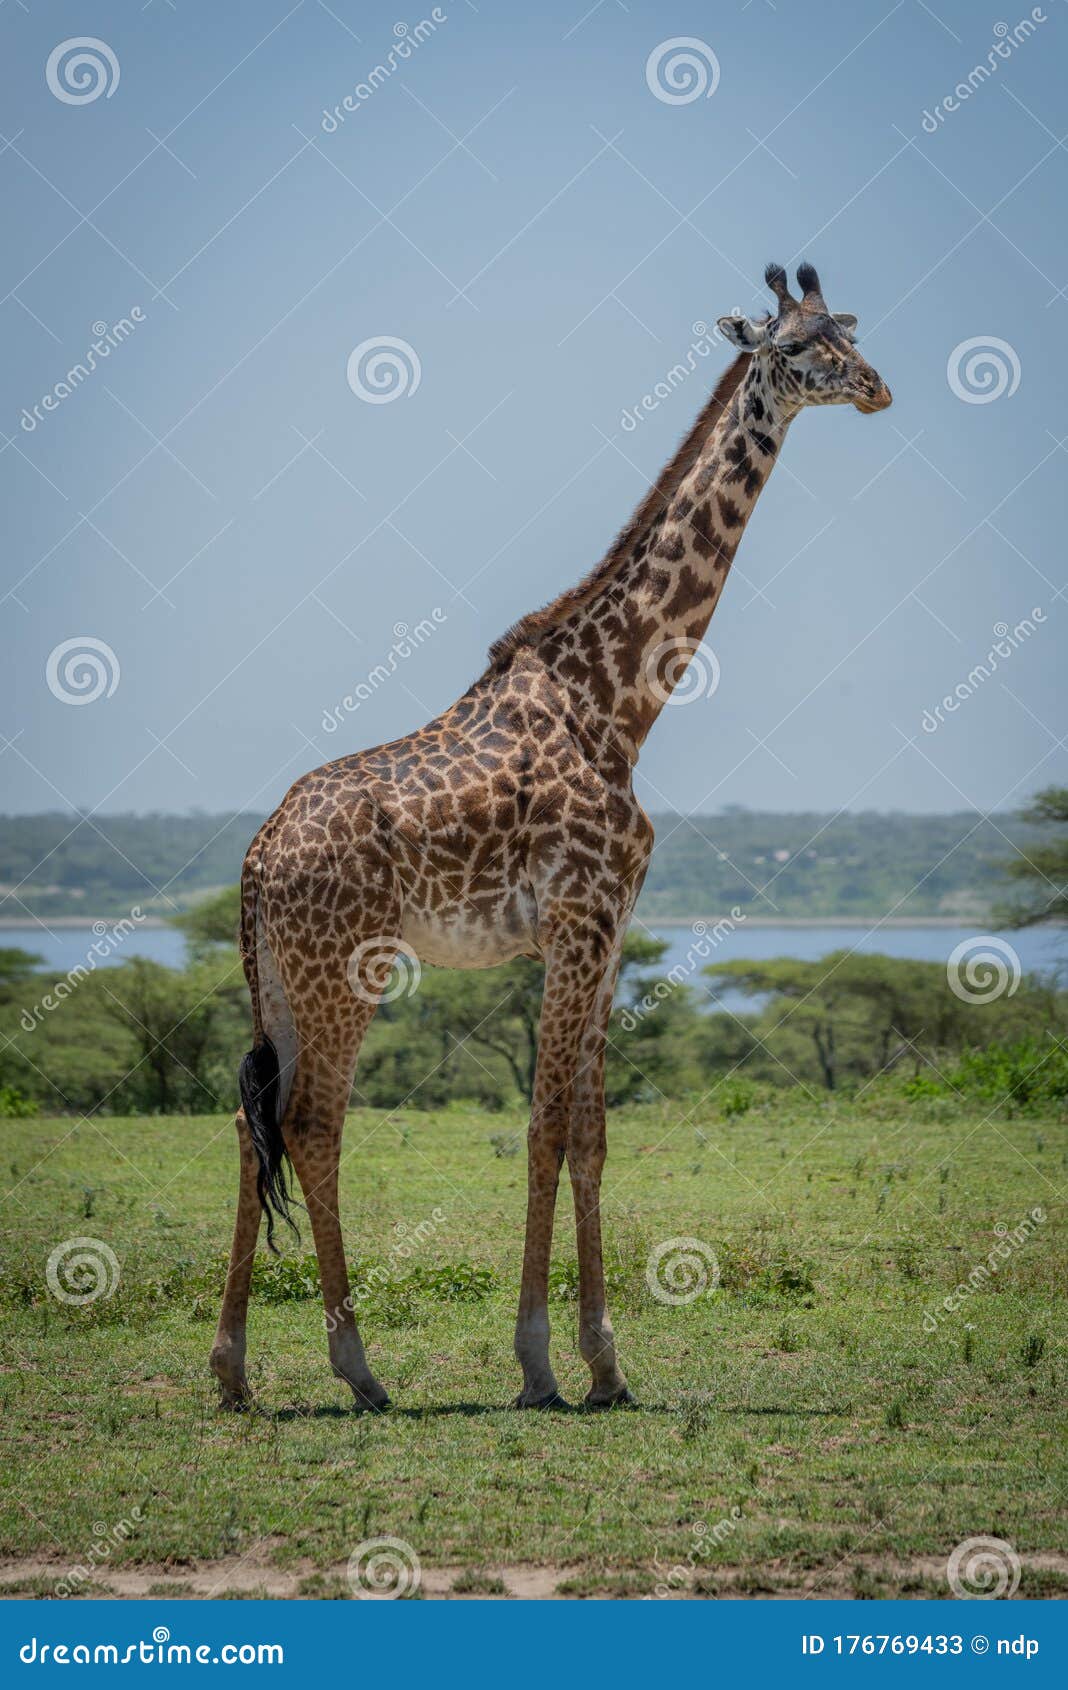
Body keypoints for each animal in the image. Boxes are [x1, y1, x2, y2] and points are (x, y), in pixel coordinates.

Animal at [210, 262, 891, 1412]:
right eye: (800, 349)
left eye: (849, 331)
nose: (879, 387)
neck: (617, 702)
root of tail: (256, 863)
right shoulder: (575, 921)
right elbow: (545, 1128)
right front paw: (539, 1363)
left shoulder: (611, 931)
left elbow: (595, 1133)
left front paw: (606, 1363)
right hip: (346, 969)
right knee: (310, 1125)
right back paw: (359, 1370)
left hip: (284, 982)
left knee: (253, 1122)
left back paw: (231, 1372)